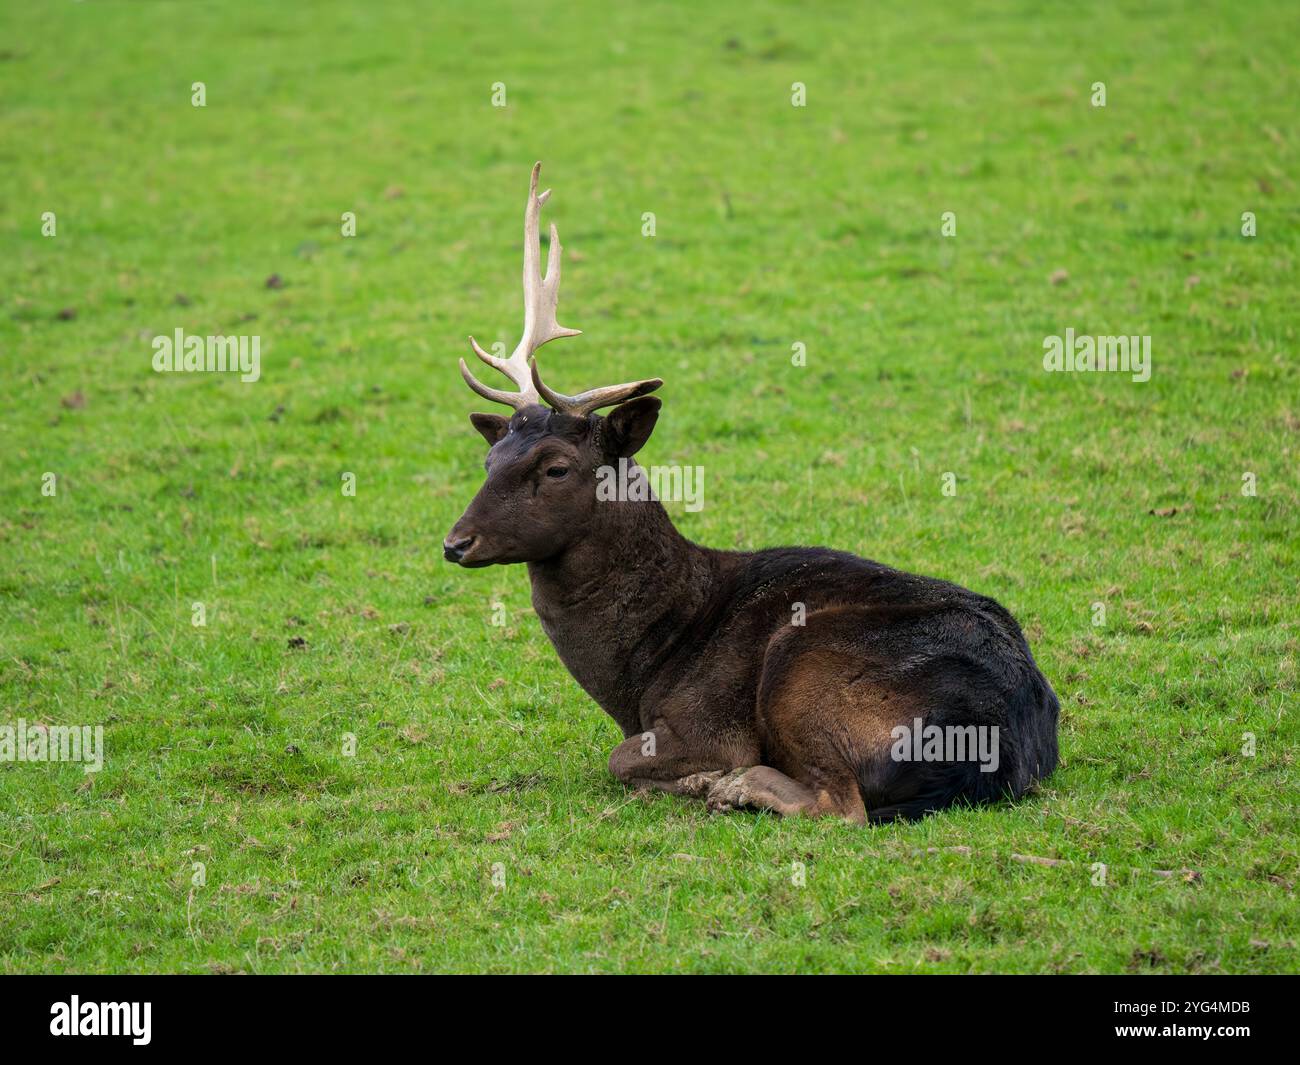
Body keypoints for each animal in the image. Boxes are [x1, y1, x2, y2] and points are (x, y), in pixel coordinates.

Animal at [444, 163, 1060, 823]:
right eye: (490, 459)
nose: (456, 542)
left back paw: (733, 786)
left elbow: (620, 758)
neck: (641, 671)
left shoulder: (707, 723)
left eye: (556, 467)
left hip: (804, 661)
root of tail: (999, 747)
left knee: (843, 805)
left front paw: (702, 778)